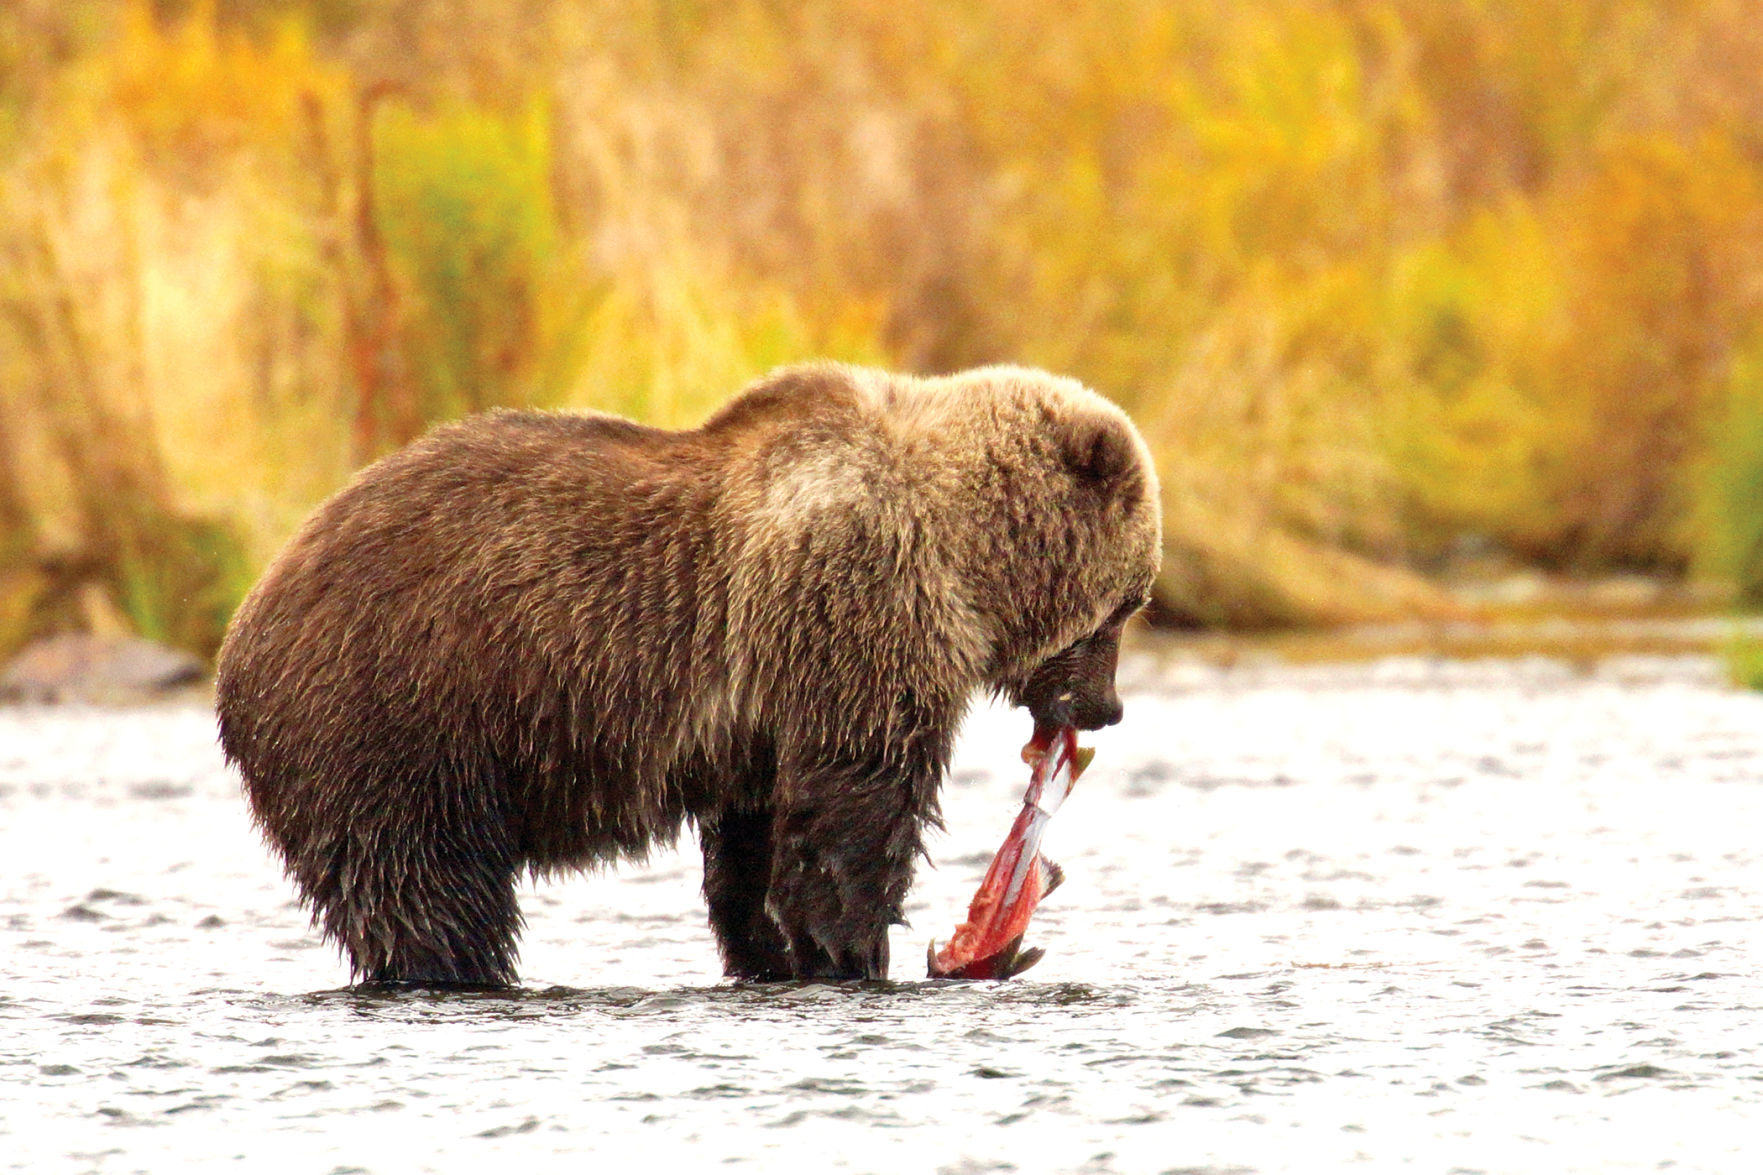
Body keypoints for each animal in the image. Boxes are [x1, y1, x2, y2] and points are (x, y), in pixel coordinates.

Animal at [215, 362, 1162, 985]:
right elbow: (852, 807)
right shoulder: (853, 606)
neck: (961, 553)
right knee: (430, 884)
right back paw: (461, 968)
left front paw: (771, 948)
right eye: (1128, 603)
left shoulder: (767, 705)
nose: (1107, 706)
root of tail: (242, 630)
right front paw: (856, 949)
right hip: (399, 713)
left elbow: (758, 835)